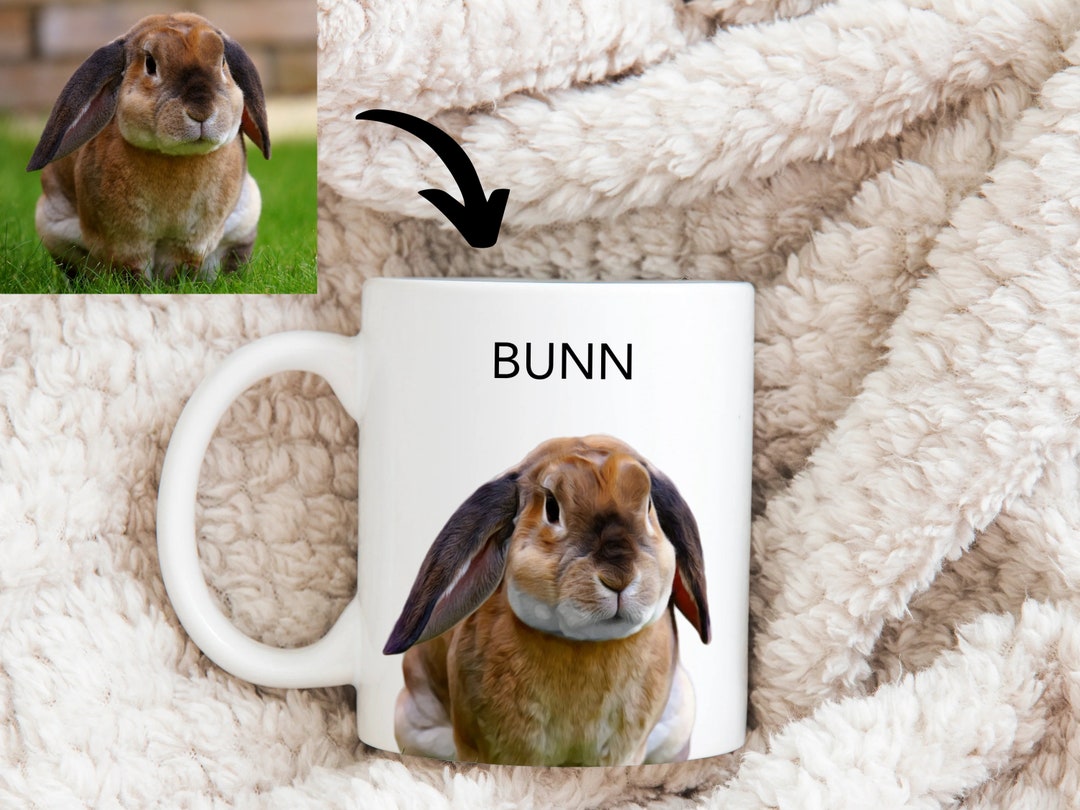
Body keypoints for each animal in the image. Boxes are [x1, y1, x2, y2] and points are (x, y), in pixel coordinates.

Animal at [26, 13, 270, 281]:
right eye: (150, 64)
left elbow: (181, 267)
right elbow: (132, 270)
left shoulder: (190, 241)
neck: (176, 158)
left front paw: (177, 286)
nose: (201, 111)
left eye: (223, 61)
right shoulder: (126, 242)